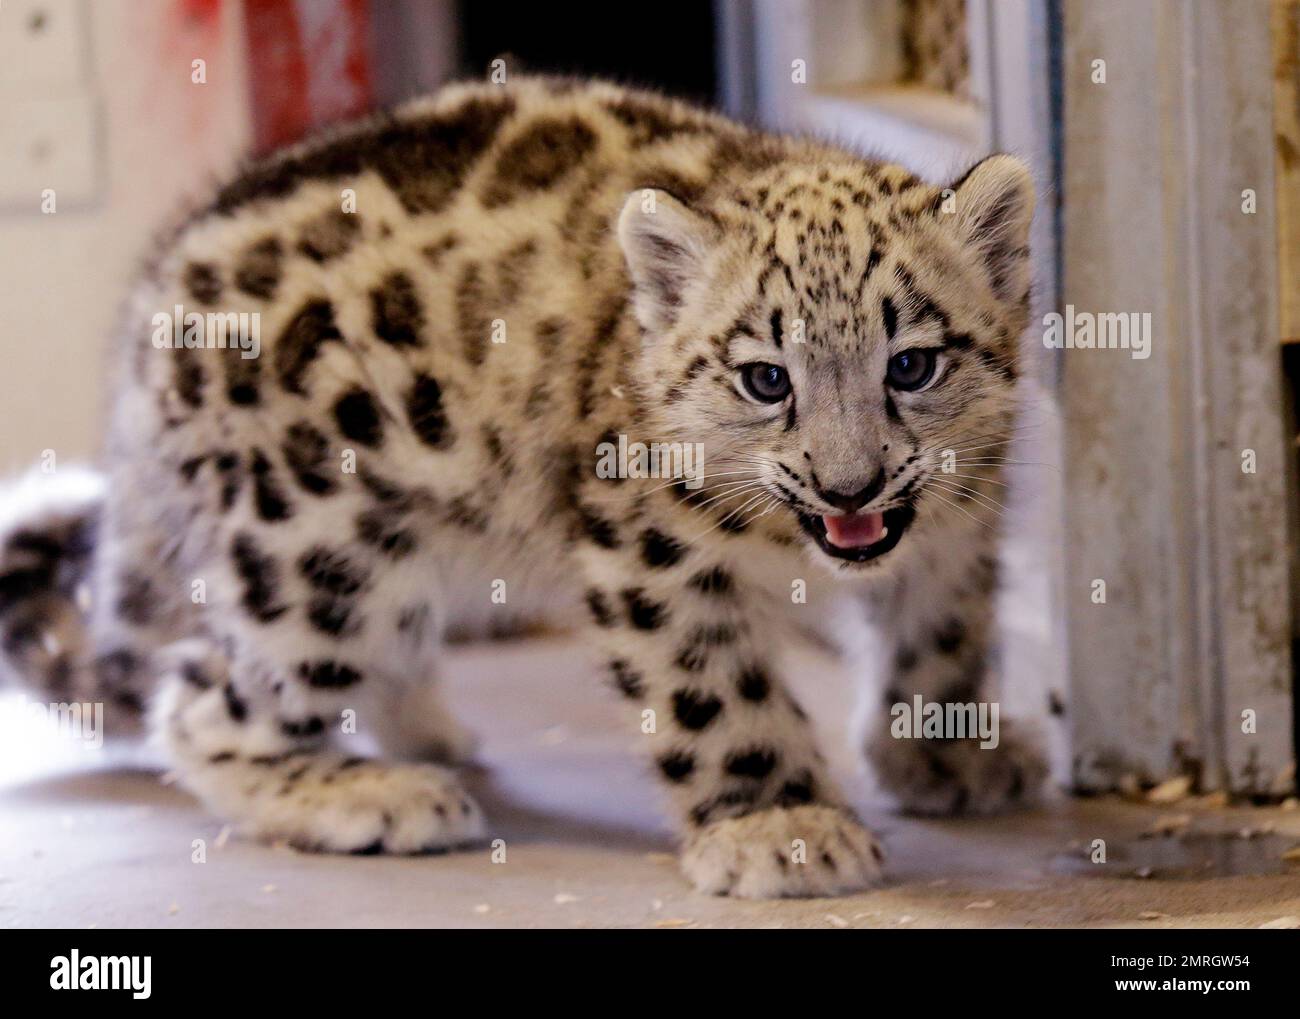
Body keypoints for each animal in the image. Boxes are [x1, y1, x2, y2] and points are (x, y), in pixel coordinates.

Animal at [0, 77, 1046, 899]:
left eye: (911, 364)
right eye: (765, 378)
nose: (848, 486)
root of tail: (149, 300)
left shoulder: (966, 522)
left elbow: (941, 629)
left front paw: (946, 754)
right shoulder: (653, 552)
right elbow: (711, 688)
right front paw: (780, 826)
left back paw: (421, 731)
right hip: (312, 546)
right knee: (203, 703)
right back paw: (372, 794)